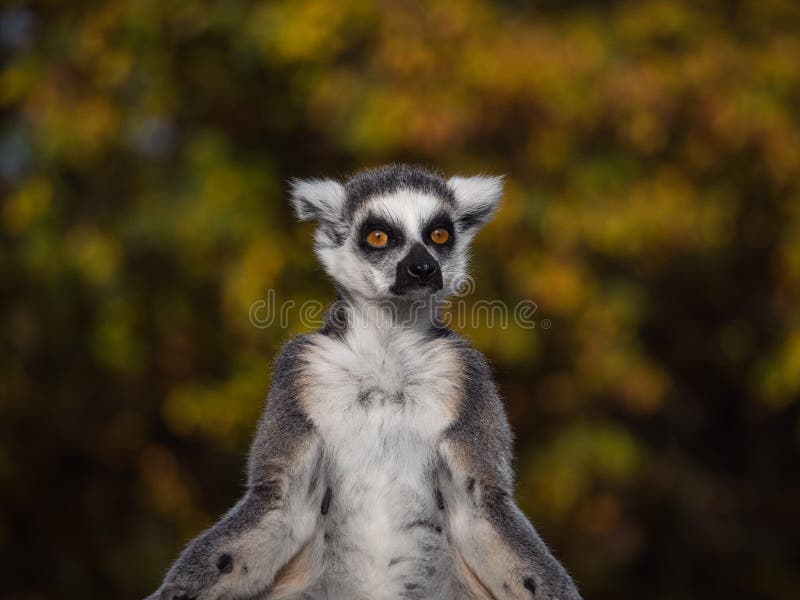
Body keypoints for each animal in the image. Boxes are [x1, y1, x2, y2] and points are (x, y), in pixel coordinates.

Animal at [147, 164, 581, 600]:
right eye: (378, 237)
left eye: (439, 235)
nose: (423, 268)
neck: (387, 349)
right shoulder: (302, 370)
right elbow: (281, 499)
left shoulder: (466, 376)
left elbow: (481, 505)